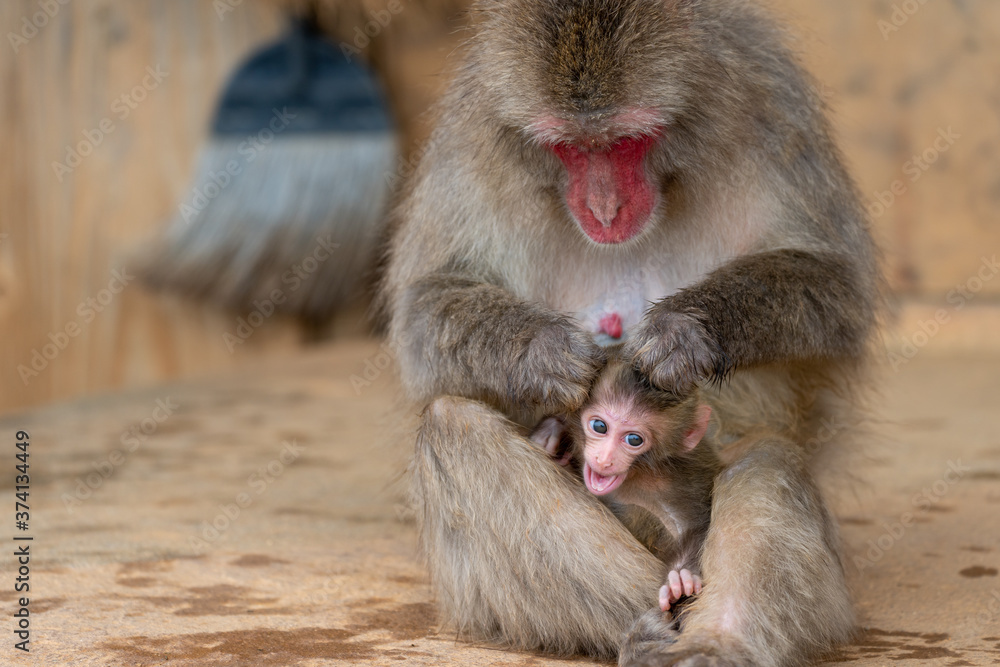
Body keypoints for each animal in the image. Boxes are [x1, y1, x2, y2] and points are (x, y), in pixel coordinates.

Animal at [529, 353, 721, 616]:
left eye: (634, 439)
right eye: (599, 426)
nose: (604, 459)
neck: (637, 474)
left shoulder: (680, 485)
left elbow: (695, 527)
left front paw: (682, 576)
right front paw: (550, 431)